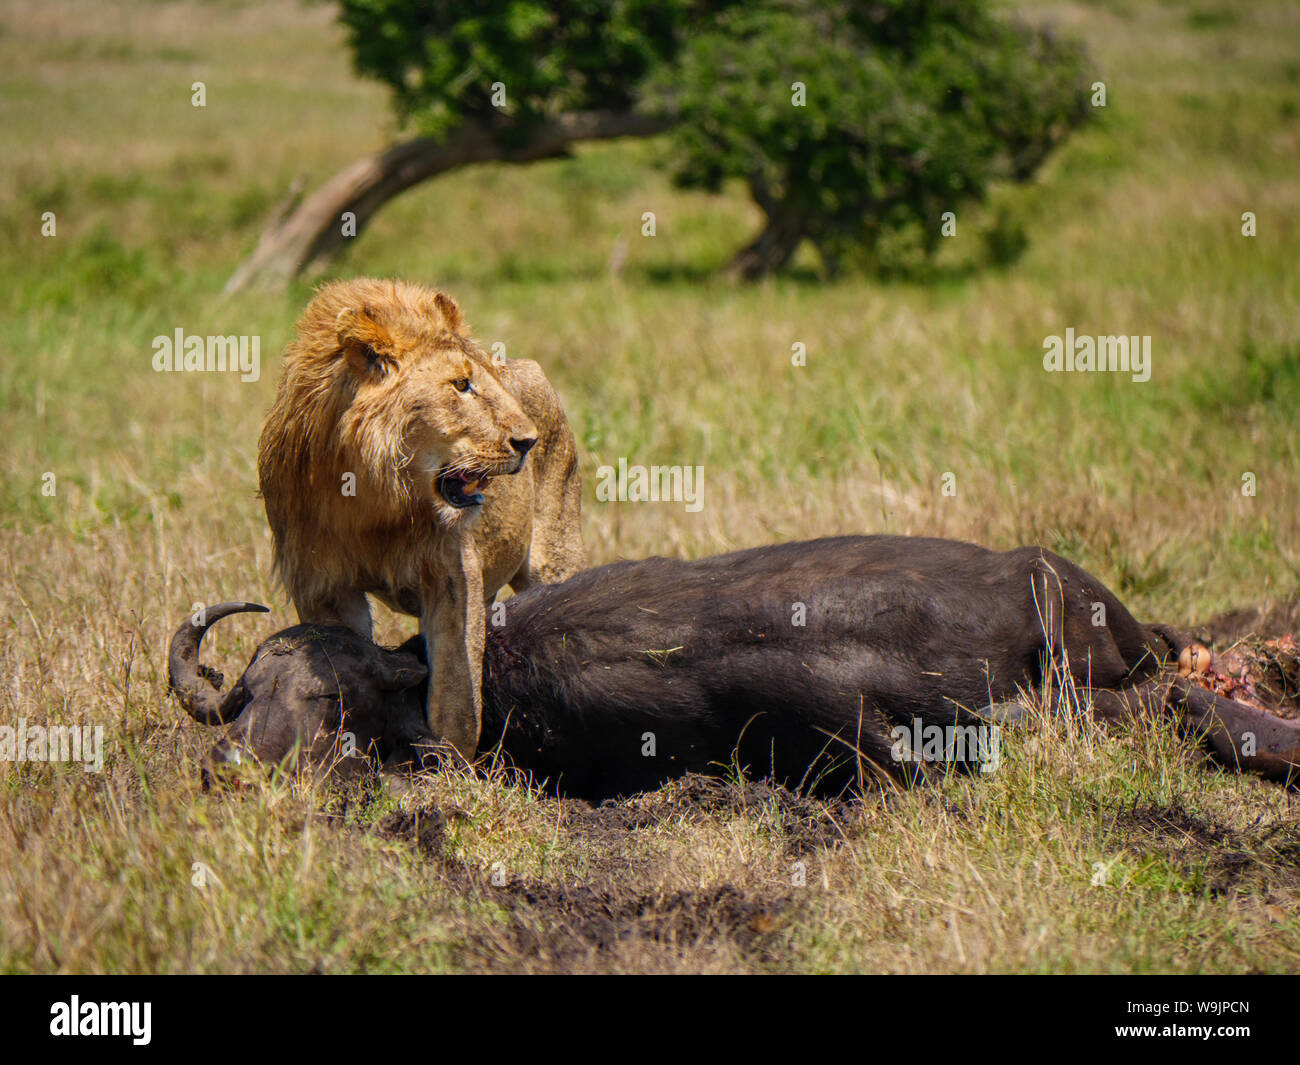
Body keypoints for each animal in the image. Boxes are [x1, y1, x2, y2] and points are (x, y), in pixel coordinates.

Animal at [257, 278, 584, 758]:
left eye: (488, 380)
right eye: (461, 384)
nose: (528, 441)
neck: (376, 501)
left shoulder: (451, 575)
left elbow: (454, 697)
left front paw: (446, 767)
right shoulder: (323, 585)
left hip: (554, 555)